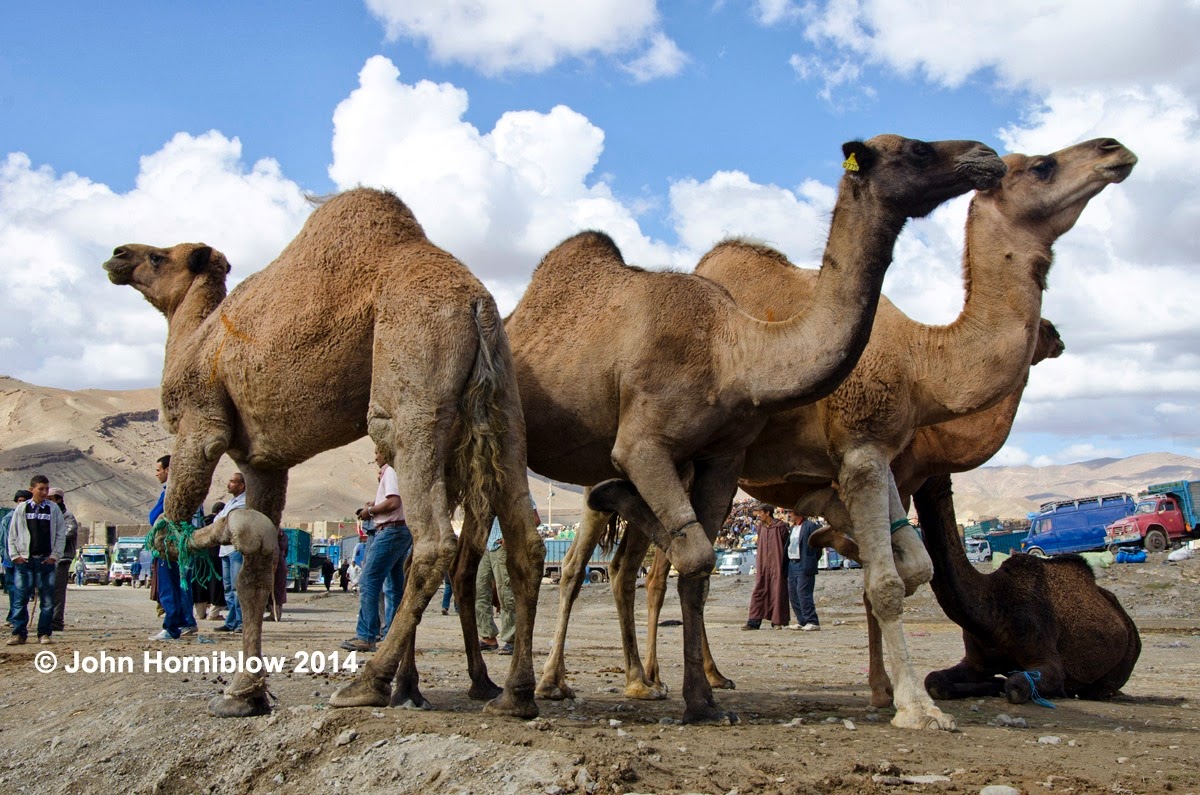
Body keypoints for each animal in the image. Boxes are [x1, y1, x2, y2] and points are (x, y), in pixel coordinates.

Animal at [103, 188, 543, 719]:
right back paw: (511, 694)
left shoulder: (200, 420)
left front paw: (233, 527)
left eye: (158, 257)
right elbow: (254, 575)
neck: (199, 336)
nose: (117, 254)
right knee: (526, 542)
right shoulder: (264, 463)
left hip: (410, 385)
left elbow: (173, 533)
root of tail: (476, 304)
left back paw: (368, 684)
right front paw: (244, 693)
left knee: (435, 541)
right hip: (505, 406)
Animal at [461, 134, 1006, 725]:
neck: (736, 354)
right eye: (915, 150)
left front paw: (701, 700)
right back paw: (518, 689)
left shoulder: (723, 456)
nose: (986, 155)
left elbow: (695, 569)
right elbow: (695, 553)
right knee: (522, 553)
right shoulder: (643, 444)